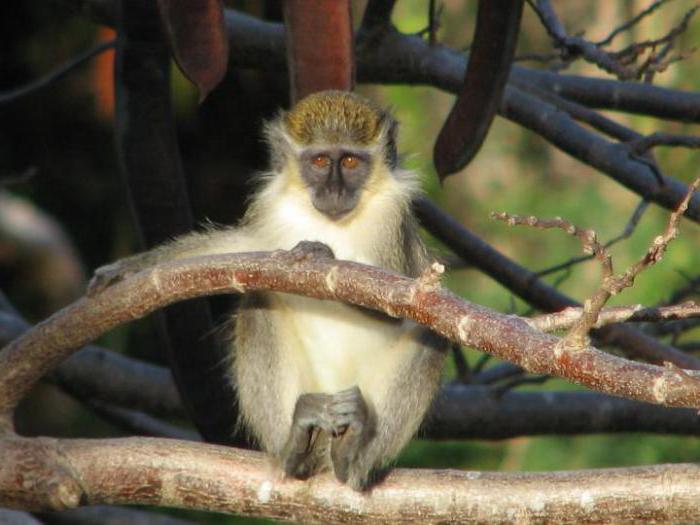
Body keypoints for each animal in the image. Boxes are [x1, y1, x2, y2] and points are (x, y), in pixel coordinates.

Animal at [90, 90, 446, 488]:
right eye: (320, 161)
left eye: (351, 161)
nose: (335, 190)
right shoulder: (270, 213)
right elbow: (227, 256)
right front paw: (128, 270)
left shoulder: (391, 220)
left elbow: (398, 304)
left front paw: (321, 254)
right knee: (258, 303)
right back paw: (293, 448)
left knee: (431, 338)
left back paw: (353, 455)